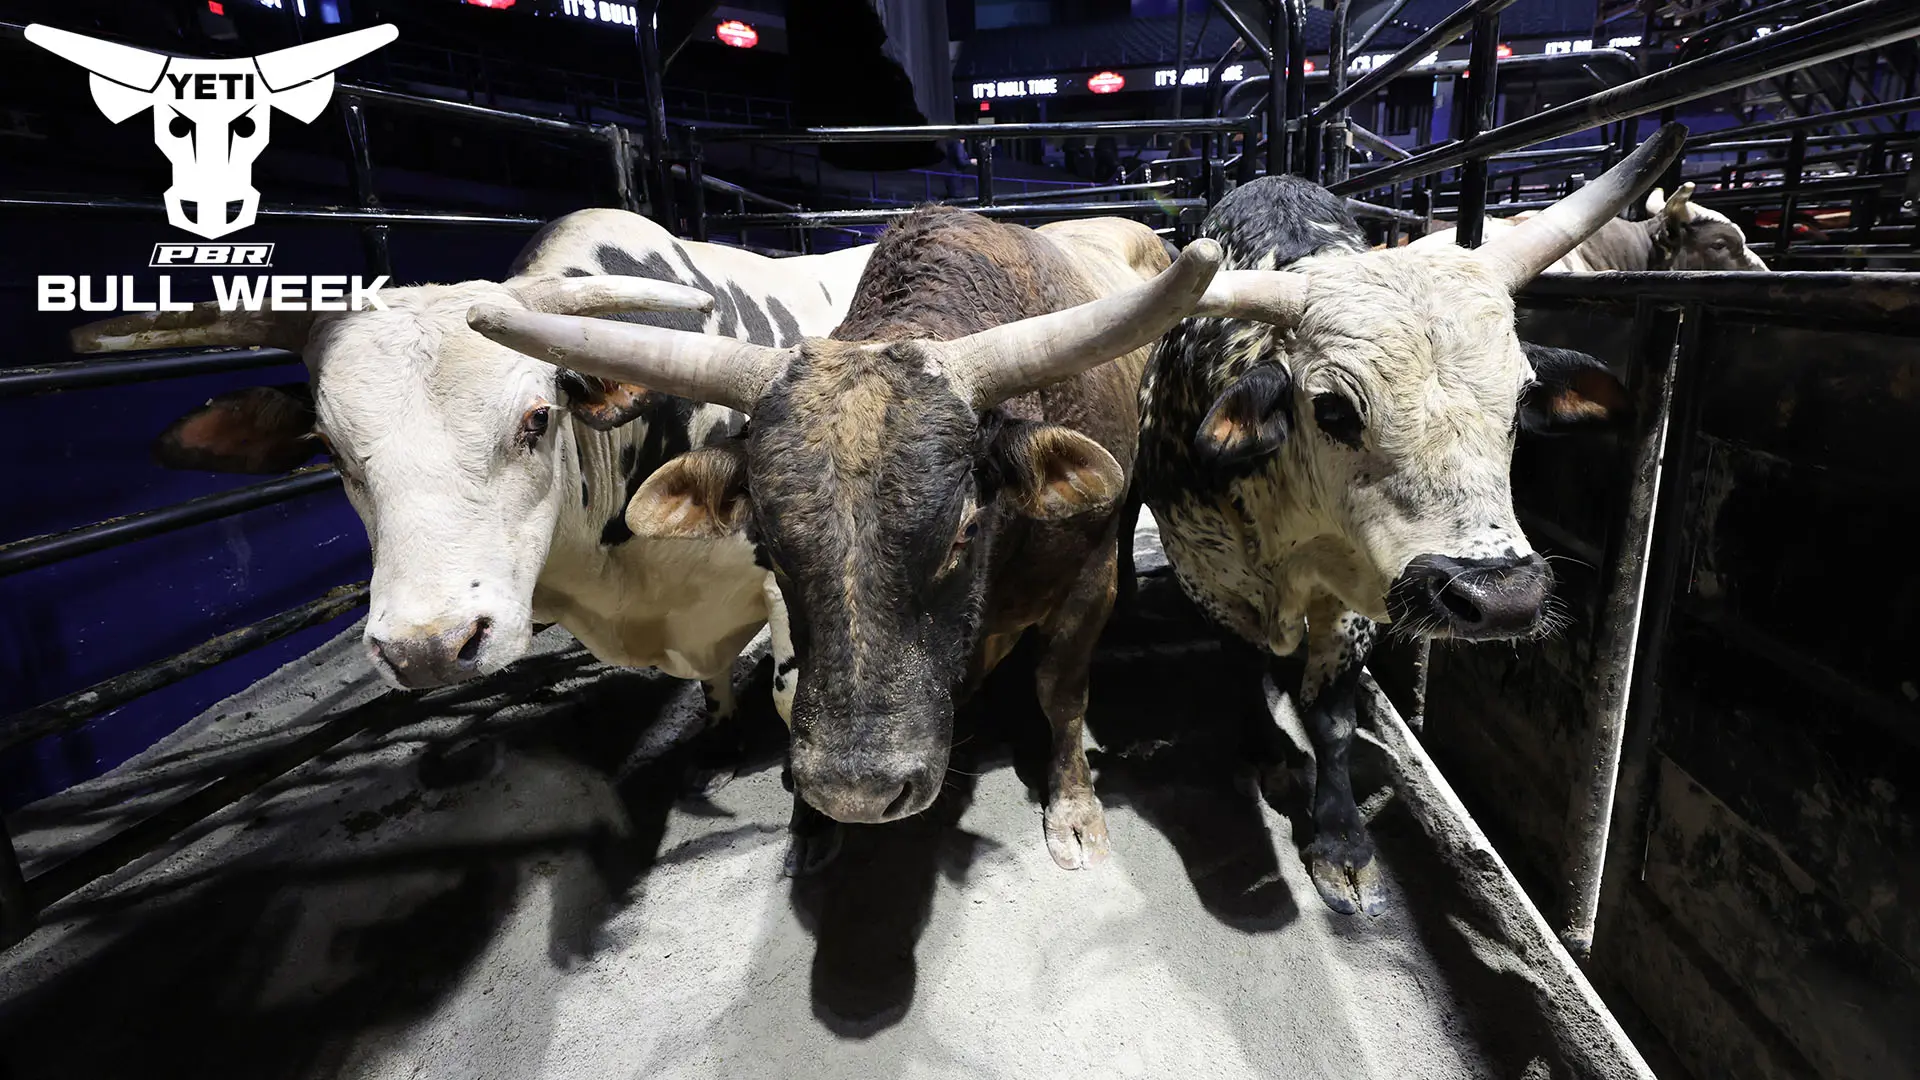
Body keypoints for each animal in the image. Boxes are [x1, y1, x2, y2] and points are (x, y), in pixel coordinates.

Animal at [466, 207, 1223, 872]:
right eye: (769, 542)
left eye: (961, 532)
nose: (856, 793)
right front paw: (811, 820)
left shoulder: (1086, 580)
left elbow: (1061, 692)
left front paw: (1073, 811)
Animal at [1133, 125, 1688, 916]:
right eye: (1333, 408)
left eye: (1522, 398)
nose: (1503, 598)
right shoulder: (1210, 577)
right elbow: (1245, 666)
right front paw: (1268, 754)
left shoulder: (1356, 598)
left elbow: (1333, 716)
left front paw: (1340, 842)